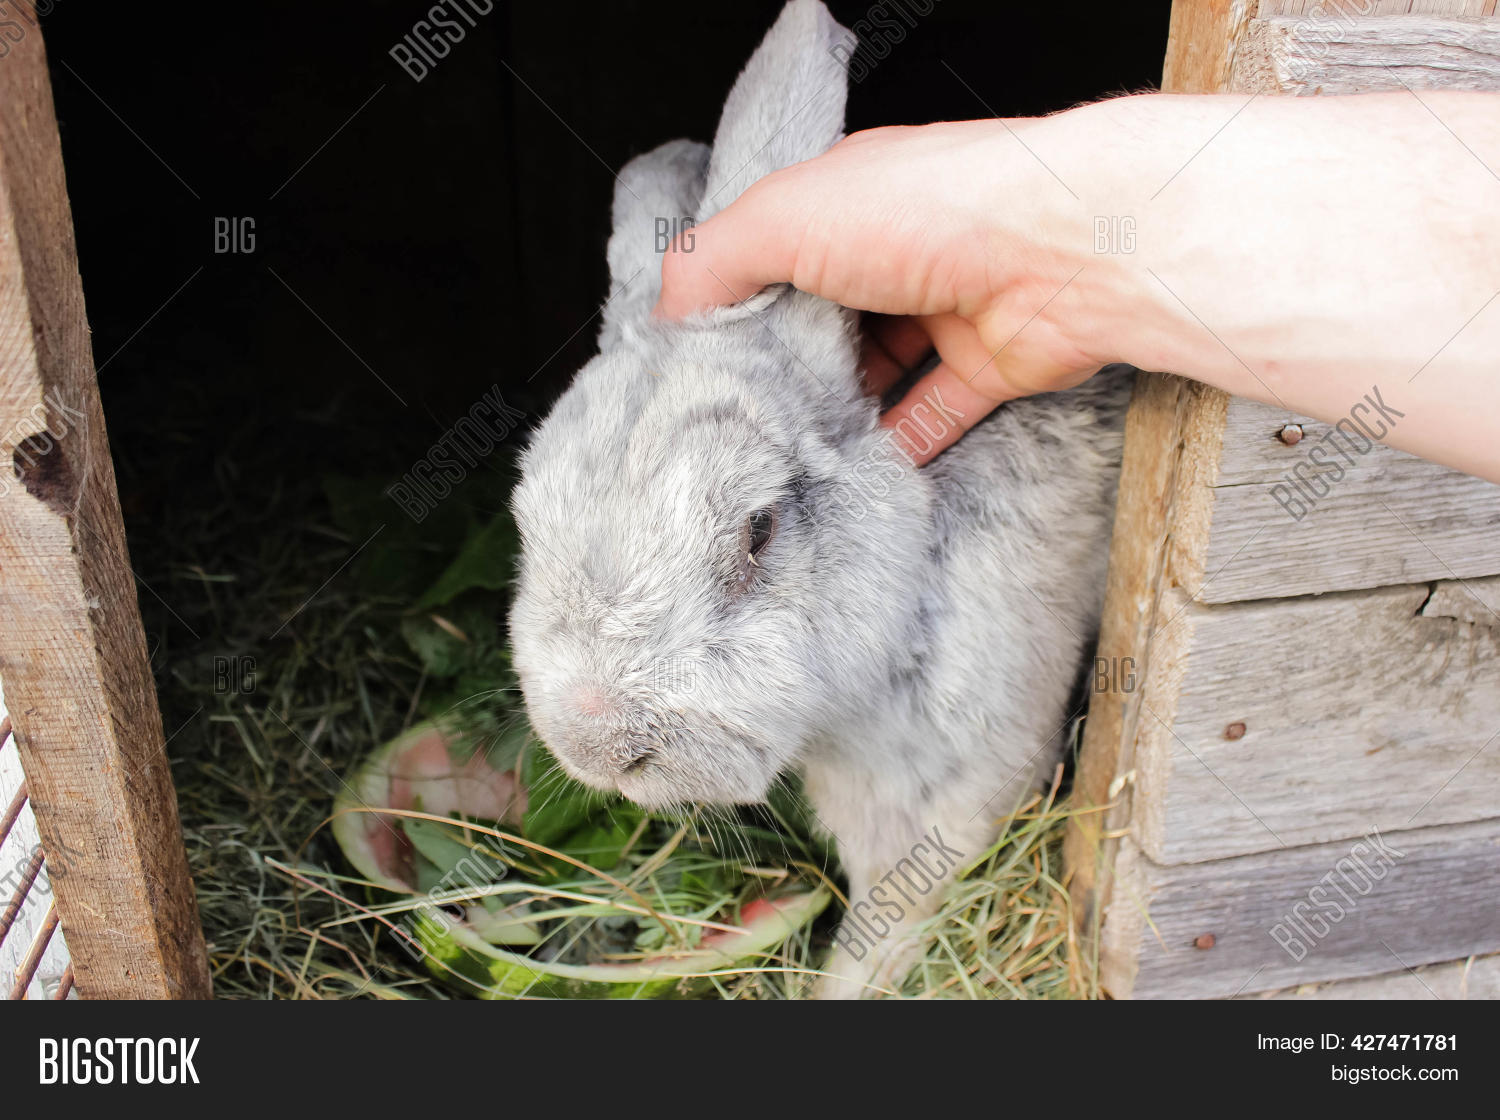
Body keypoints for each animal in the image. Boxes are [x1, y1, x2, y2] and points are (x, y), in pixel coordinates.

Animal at [507, 0, 1129, 998]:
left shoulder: (949, 789)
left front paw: (845, 982)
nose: (598, 744)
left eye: (758, 531)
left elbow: (891, 920)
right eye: (528, 517)